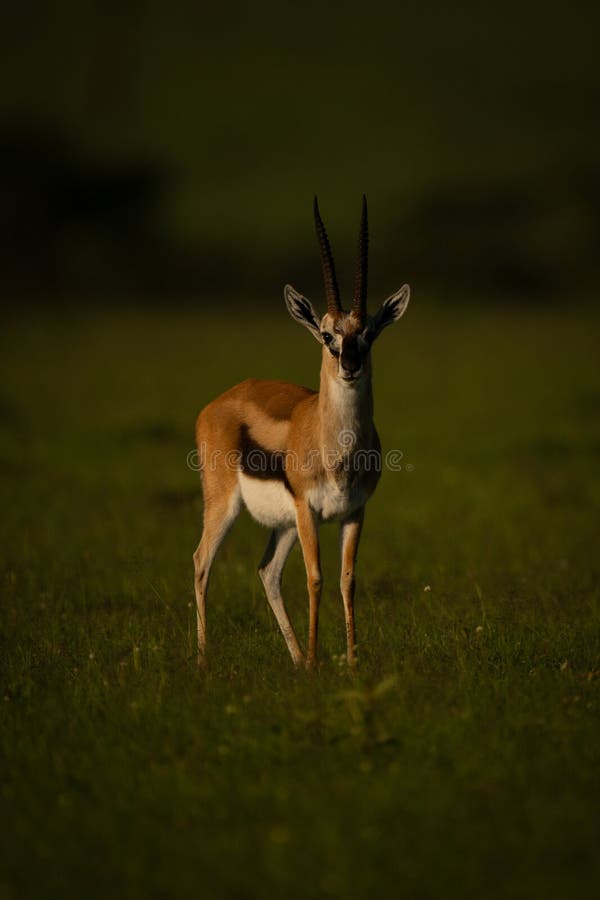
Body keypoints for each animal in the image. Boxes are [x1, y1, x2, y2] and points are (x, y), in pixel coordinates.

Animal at [193, 196, 410, 669]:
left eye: (368, 333)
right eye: (328, 335)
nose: (350, 366)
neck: (335, 448)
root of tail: (221, 400)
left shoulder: (354, 512)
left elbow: (347, 580)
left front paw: (350, 662)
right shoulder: (309, 511)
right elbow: (315, 578)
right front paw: (315, 663)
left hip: (285, 524)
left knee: (267, 571)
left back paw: (292, 659)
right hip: (226, 505)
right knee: (201, 562)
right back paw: (205, 660)